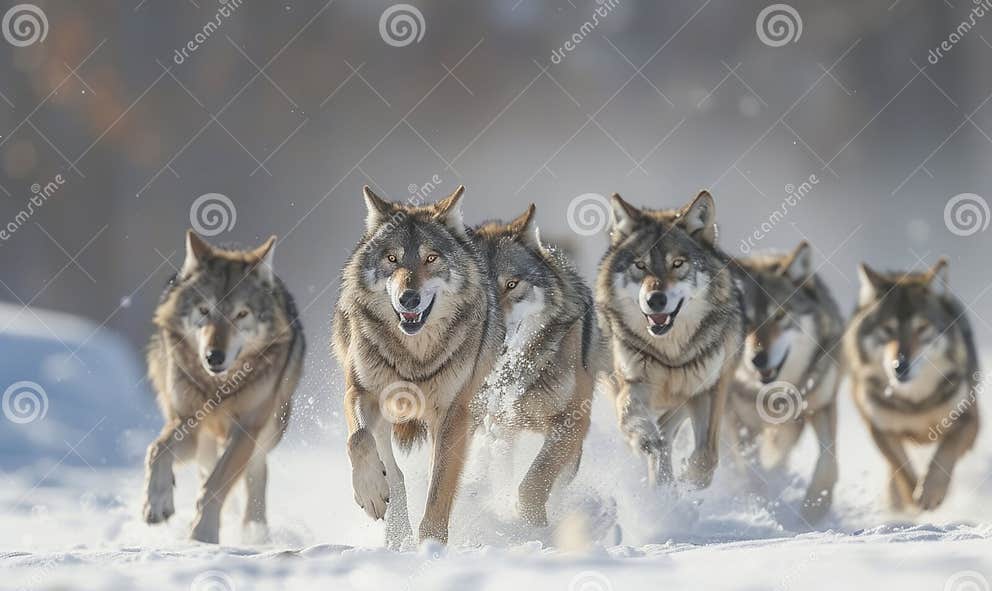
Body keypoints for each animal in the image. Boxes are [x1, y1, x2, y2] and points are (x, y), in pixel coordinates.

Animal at [142, 231, 305, 544]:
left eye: (242, 314)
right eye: (204, 310)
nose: (214, 356)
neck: (218, 387)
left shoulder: (246, 430)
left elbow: (217, 484)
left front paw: (203, 535)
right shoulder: (185, 421)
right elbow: (158, 449)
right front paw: (156, 503)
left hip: (265, 434)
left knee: (255, 475)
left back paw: (254, 533)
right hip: (203, 443)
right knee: (202, 466)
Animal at [334, 185, 504, 547]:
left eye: (431, 258)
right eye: (392, 259)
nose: (408, 298)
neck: (414, 356)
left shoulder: (454, 412)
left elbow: (439, 486)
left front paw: (431, 547)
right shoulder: (360, 392)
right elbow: (357, 440)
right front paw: (370, 493)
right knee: (393, 471)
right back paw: (394, 531)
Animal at [596, 190, 744, 488]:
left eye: (677, 263)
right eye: (640, 265)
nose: (656, 300)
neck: (671, 356)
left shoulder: (708, 388)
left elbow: (706, 457)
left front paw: (690, 479)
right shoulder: (633, 383)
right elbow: (633, 419)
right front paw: (646, 440)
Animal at [726, 241, 844, 522]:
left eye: (779, 316)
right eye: (747, 321)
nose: (758, 359)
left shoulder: (822, 406)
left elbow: (828, 461)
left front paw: (814, 509)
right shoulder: (740, 422)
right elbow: (752, 472)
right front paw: (764, 509)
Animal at [845, 258, 979, 511]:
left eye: (922, 328)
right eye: (888, 329)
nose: (900, 366)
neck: (915, 402)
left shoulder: (969, 420)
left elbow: (945, 453)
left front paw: (931, 492)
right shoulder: (879, 428)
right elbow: (902, 469)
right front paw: (911, 498)